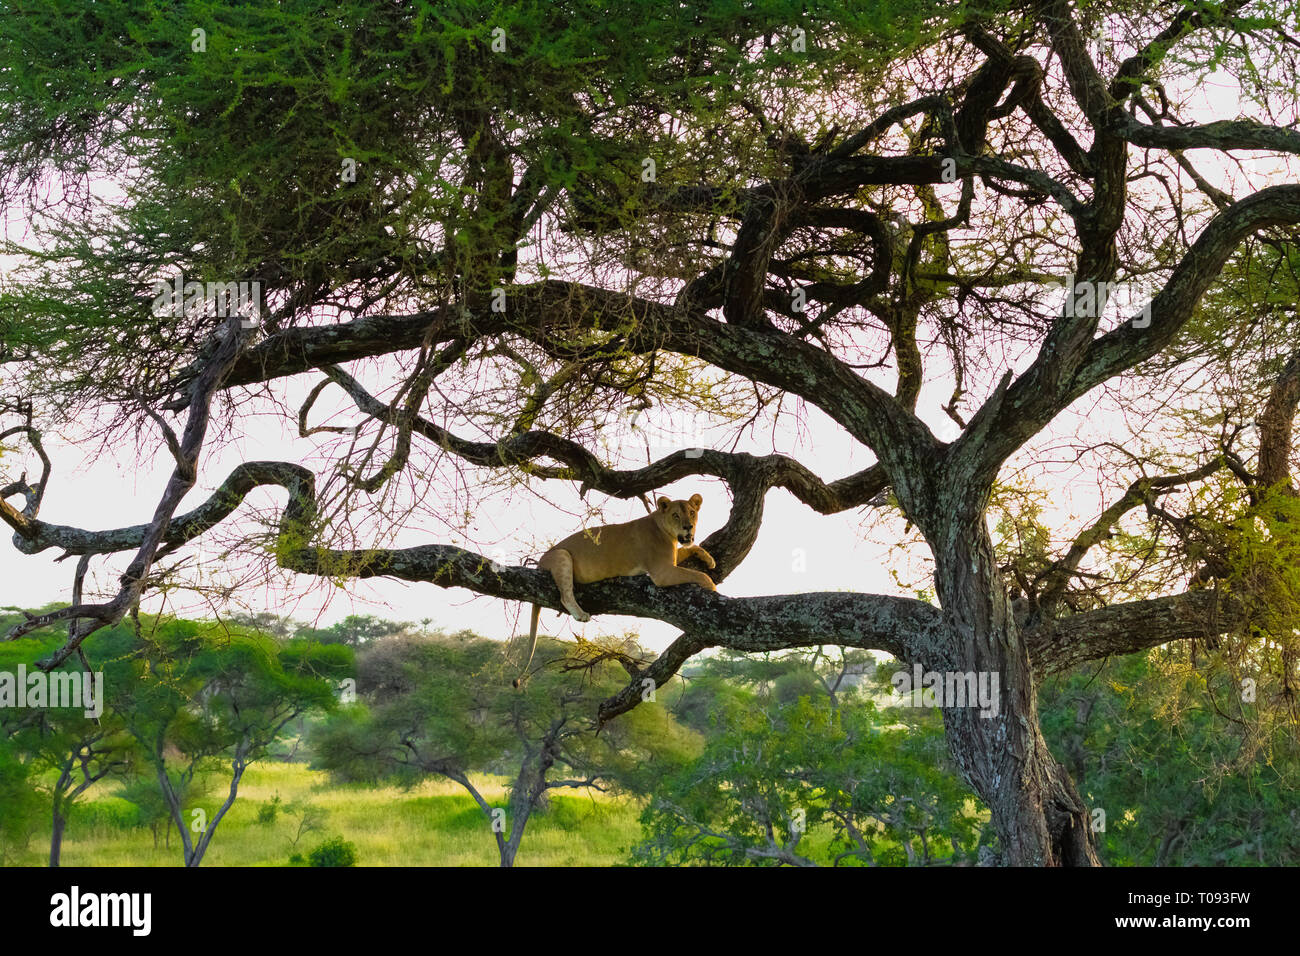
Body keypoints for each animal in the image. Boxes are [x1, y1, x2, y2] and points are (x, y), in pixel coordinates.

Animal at [513, 493, 717, 686]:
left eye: (692, 512)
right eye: (676, 515)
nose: (688, 527)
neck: (668, 533)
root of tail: (540, 562)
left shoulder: (671, 560)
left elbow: (693, 547)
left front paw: (709, 559)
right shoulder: (662, 571)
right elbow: (698, 575)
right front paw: (712, 586)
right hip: (562, 555)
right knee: (565, 594)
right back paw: (581, 614)